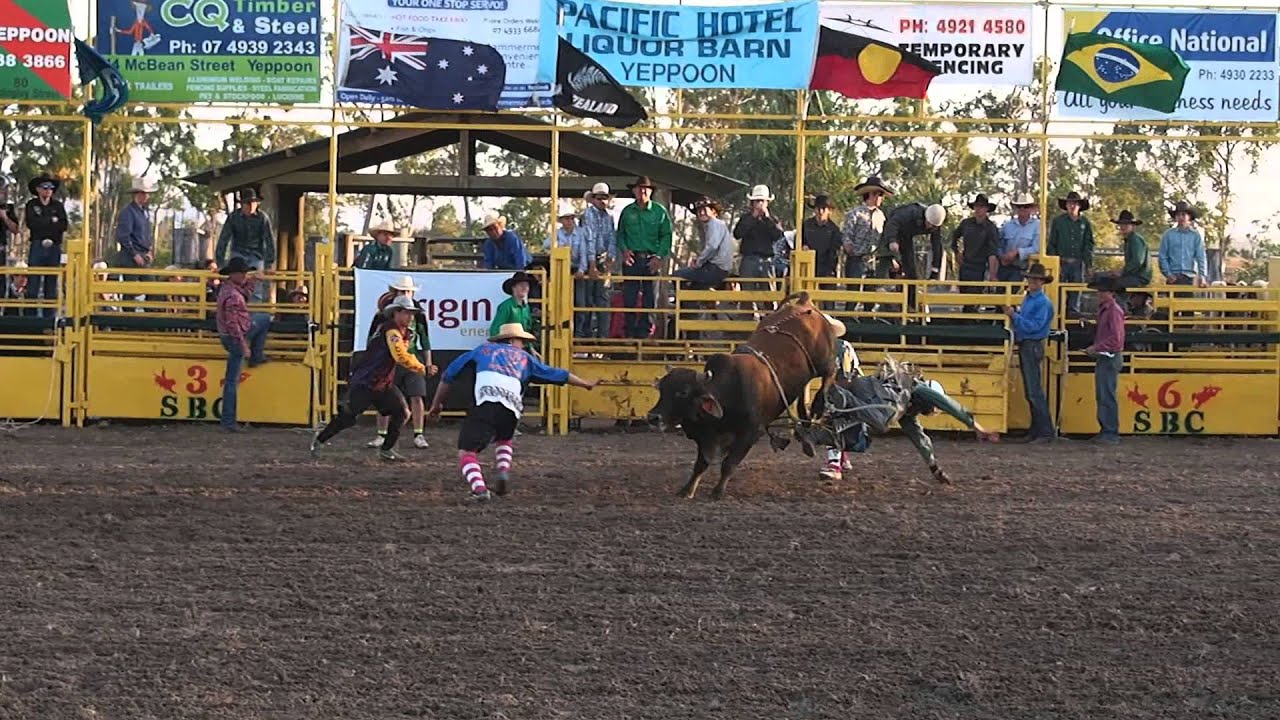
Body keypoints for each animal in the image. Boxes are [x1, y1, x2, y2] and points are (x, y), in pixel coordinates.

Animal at [646, 292, 844, 499]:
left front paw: (718, 491)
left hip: (824, 360)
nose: (653, 417)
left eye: (682, 392)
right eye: (662, 389)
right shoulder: (706, 438)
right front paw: (687, 489)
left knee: (830, 373)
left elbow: (729, 464)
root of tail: (804, 303)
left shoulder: (750, 433)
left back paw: (819, 404)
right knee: (802, 391)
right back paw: (805, 432)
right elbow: (701, 464)